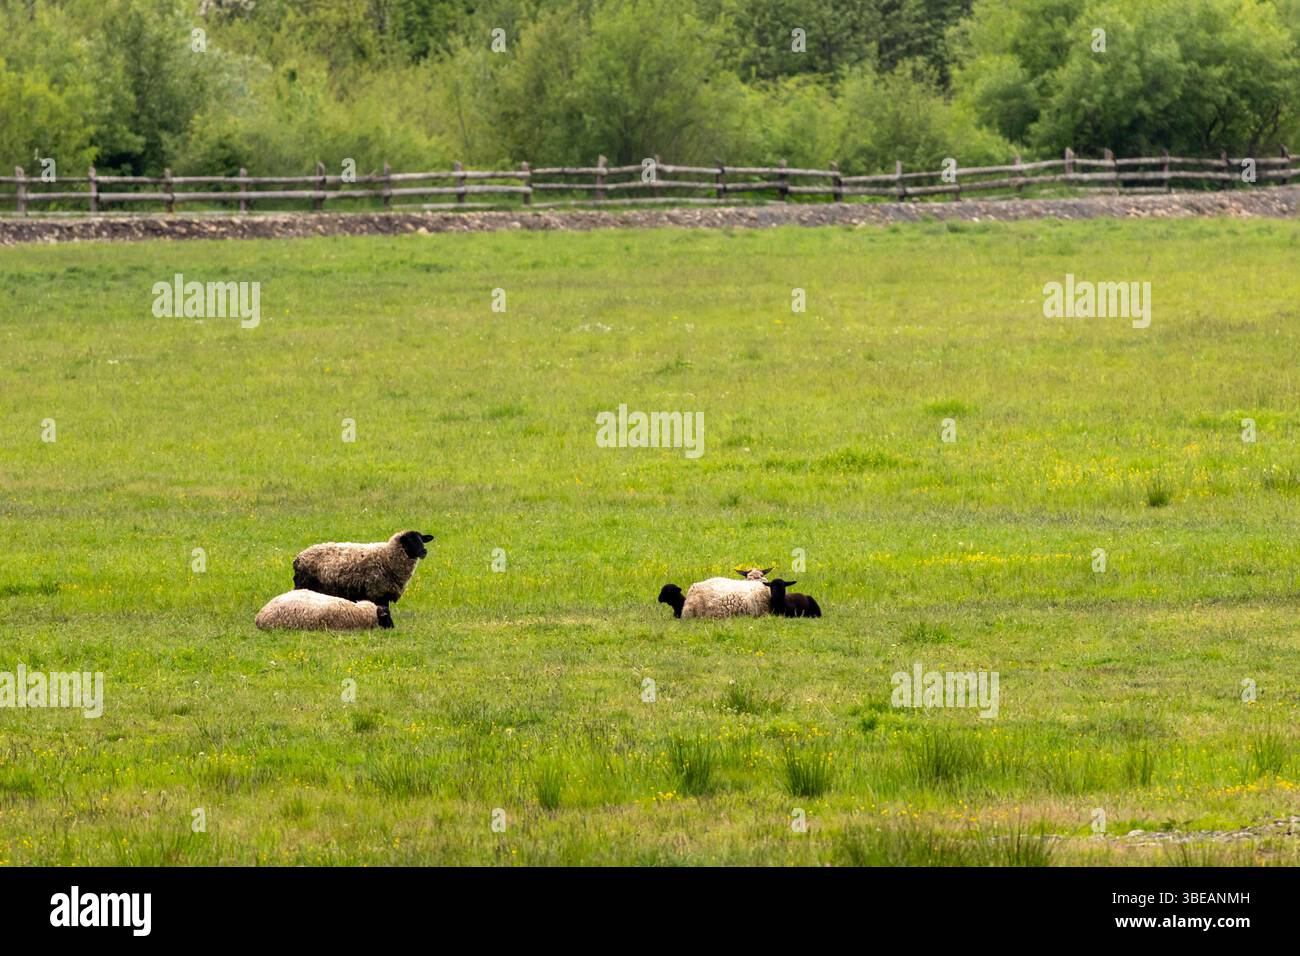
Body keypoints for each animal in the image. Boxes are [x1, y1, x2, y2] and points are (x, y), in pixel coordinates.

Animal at [292, 530, 432, 606]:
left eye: (422, 539)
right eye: (410, 540)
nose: (424, 552)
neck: (387, 557)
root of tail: (298, 558)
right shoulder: (377, 591)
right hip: (304, 584)